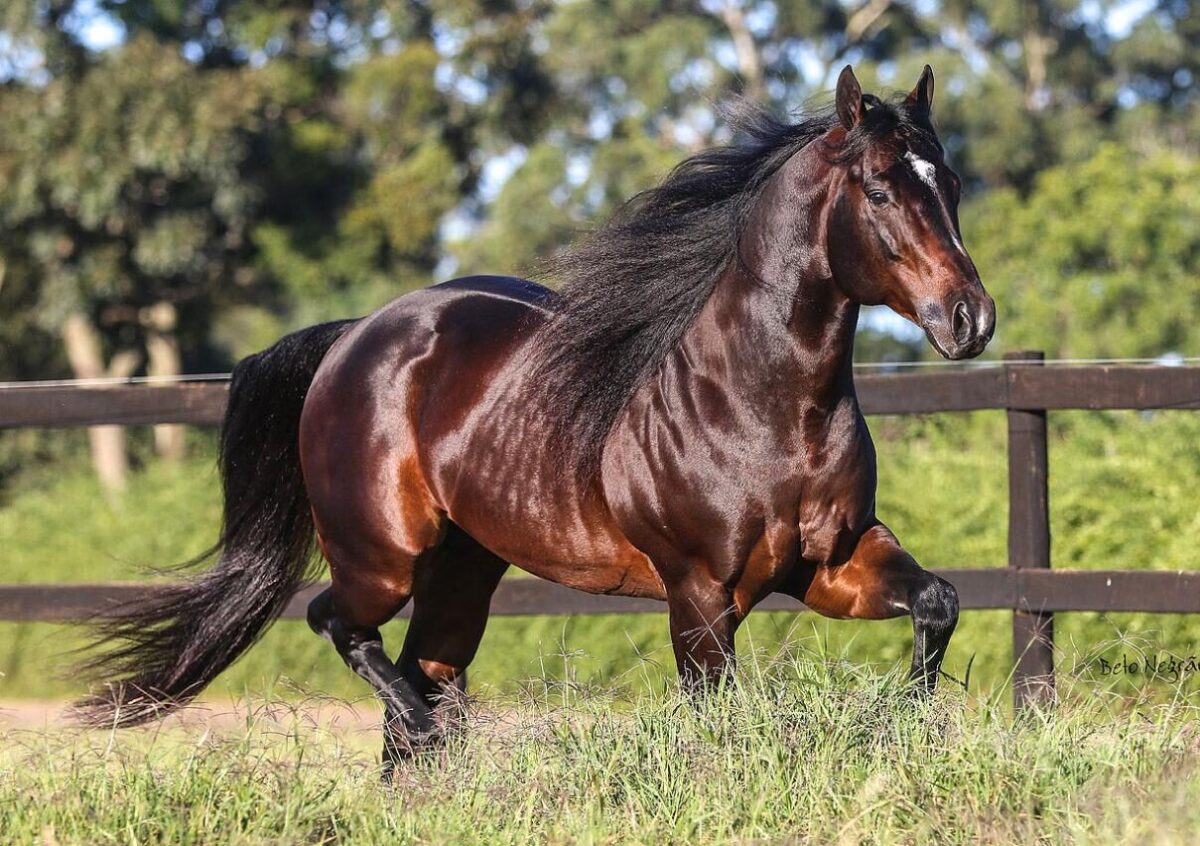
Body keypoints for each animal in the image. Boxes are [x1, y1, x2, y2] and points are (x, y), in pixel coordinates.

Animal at [77, 65, 994, 773]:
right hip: (381, 557)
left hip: (462, 570)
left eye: (949, 184)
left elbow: (938, 602)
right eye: (878, 189)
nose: (970, 319)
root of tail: (354, 338)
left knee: (420, 672)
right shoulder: (700, 592)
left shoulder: (830, 564)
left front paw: (906, 722)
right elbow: (718, 717)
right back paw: (432, 738)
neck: (762, 403)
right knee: (344, 630)